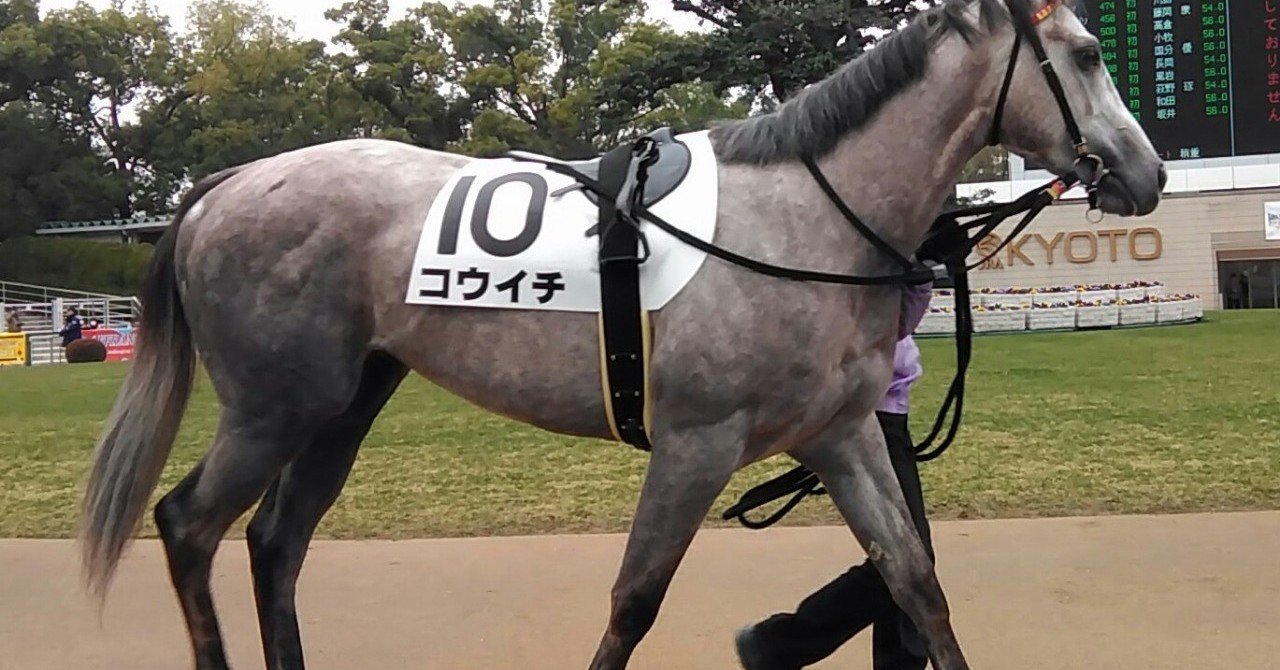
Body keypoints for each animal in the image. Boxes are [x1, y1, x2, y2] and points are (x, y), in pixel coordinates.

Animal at [79, 1, 1164, 668]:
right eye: (1084, 53)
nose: (1144, 171)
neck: (800, 217)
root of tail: (227, 184)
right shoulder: (696, 444)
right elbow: (635, 600)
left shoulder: (842, 434)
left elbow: (912, 579)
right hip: (273, 407)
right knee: (189, 525)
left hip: (345, 403)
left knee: (274, 540)